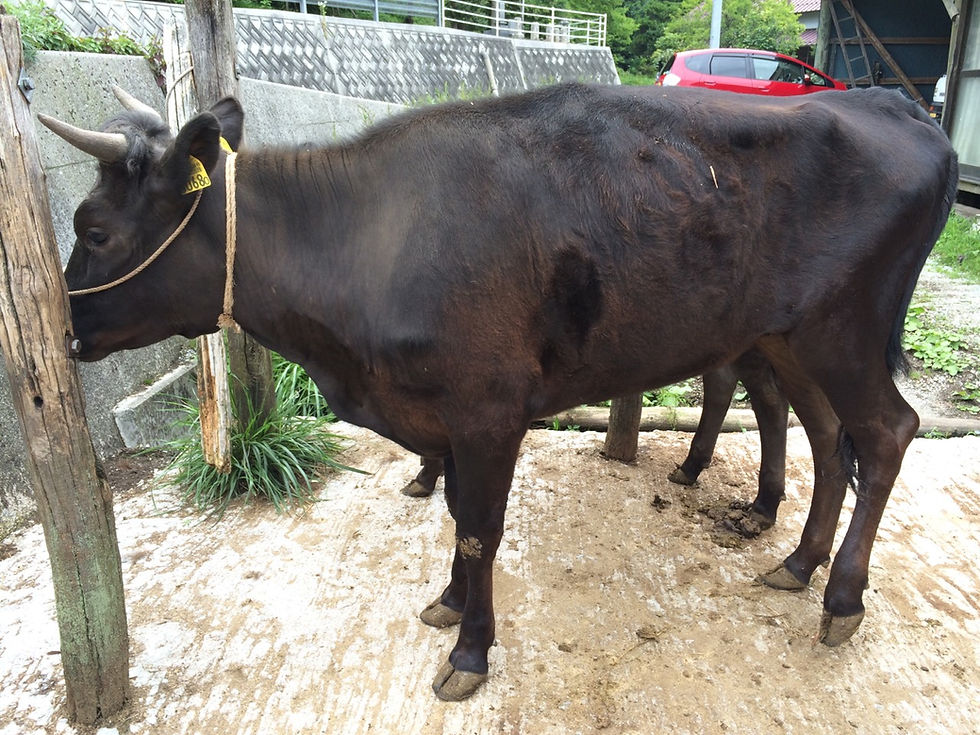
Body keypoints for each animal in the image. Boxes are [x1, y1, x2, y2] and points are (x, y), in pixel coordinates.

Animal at [39, 82, 957, 701]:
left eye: (94, 229)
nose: (66, 328)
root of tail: (896, 107)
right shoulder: (443, 417)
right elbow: (454, 516)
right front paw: (448, 602)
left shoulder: (488, 411)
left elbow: (480, 529)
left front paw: (471, 652)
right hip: (789, 337)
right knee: (826, 433)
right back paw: (797, 561)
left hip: (842, 332)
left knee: (887, 432)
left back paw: (841, 597)